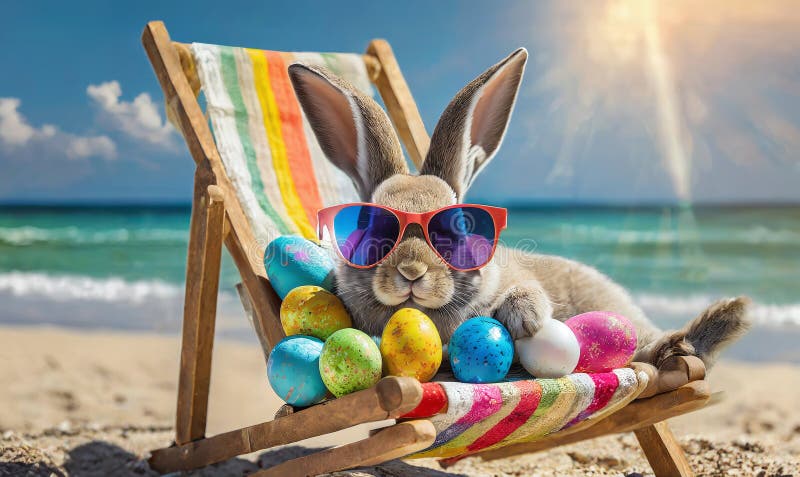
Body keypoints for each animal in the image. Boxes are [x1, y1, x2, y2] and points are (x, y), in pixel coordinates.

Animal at [287, 48, 751, 369]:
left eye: (458, 225)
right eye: (371, 223)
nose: (411, 272)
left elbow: (526, 290)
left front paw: (525, 318)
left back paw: (694, 337)